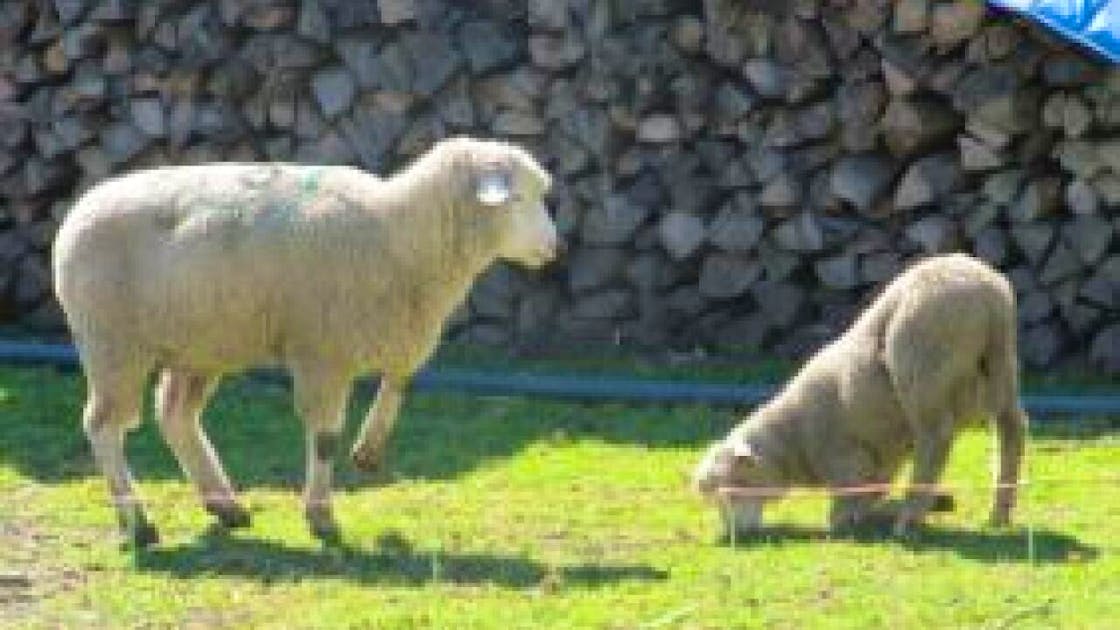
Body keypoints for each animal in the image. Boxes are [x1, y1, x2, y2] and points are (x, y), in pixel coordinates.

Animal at [52, 136, 559, 547]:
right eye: (516, 196)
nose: (555, 248)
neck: (397, 234)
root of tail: (76, 215)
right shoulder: (323, 351)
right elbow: (325, 437)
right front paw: (322, 517)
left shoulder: (387, 328)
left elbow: (398, 379)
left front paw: (369, 450)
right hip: (113, 344)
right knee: (104, 426)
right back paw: (138, 524)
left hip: (199, 343)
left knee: (176, 416)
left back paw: (224, 505)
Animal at [693, 253, 1028, 539]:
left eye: (731, 490)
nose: (734, 536)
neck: (796, 438)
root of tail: (987, 291)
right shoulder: (880, 454)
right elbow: (874, 486)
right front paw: (866, 515)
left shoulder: (843, 453)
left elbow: (849, 492)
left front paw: (843, 521)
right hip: (1001, 364)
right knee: (1012, 427)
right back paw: (999, 512)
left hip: (923, 363)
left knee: (936, 437)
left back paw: (909, 519)